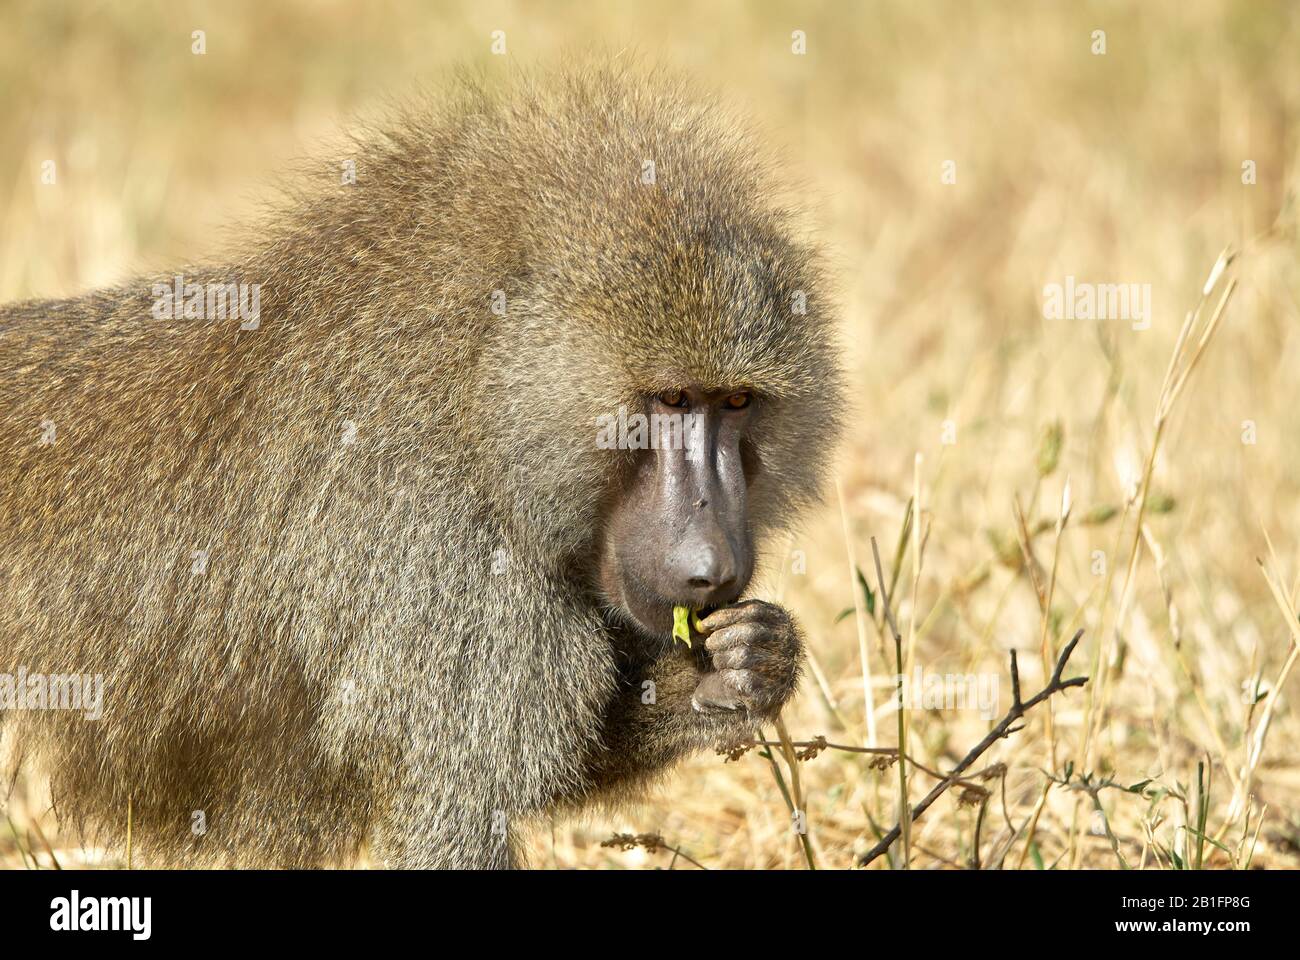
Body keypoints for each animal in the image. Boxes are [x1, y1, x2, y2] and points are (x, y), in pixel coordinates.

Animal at [0, 63, 843, 868]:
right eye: (669, 399)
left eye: (735, 402)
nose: (712, 567)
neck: (477, 399)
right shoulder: (444, 559)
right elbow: (456, 810)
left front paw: (744, 663)